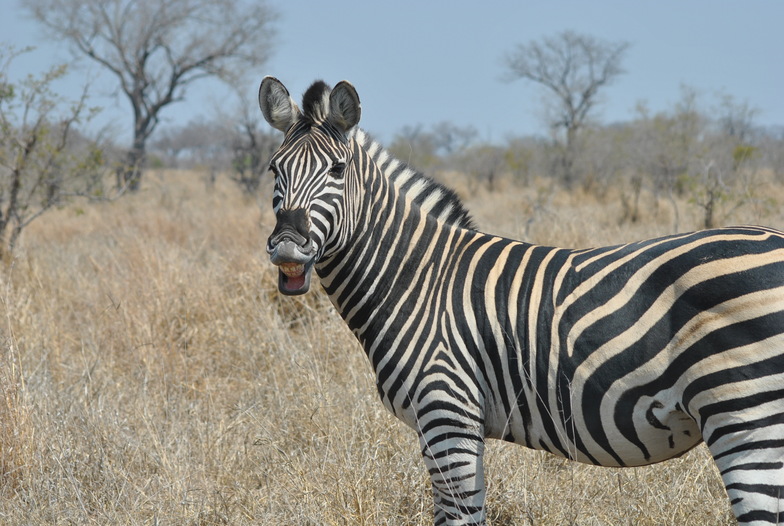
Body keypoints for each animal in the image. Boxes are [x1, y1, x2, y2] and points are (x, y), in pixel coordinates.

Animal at [258, 76, 784, 524]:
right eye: (273, 169)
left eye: (337, 170)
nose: (287, 247)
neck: (417, 278)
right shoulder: (451, 424)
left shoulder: (447, 414)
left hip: (745, 418)